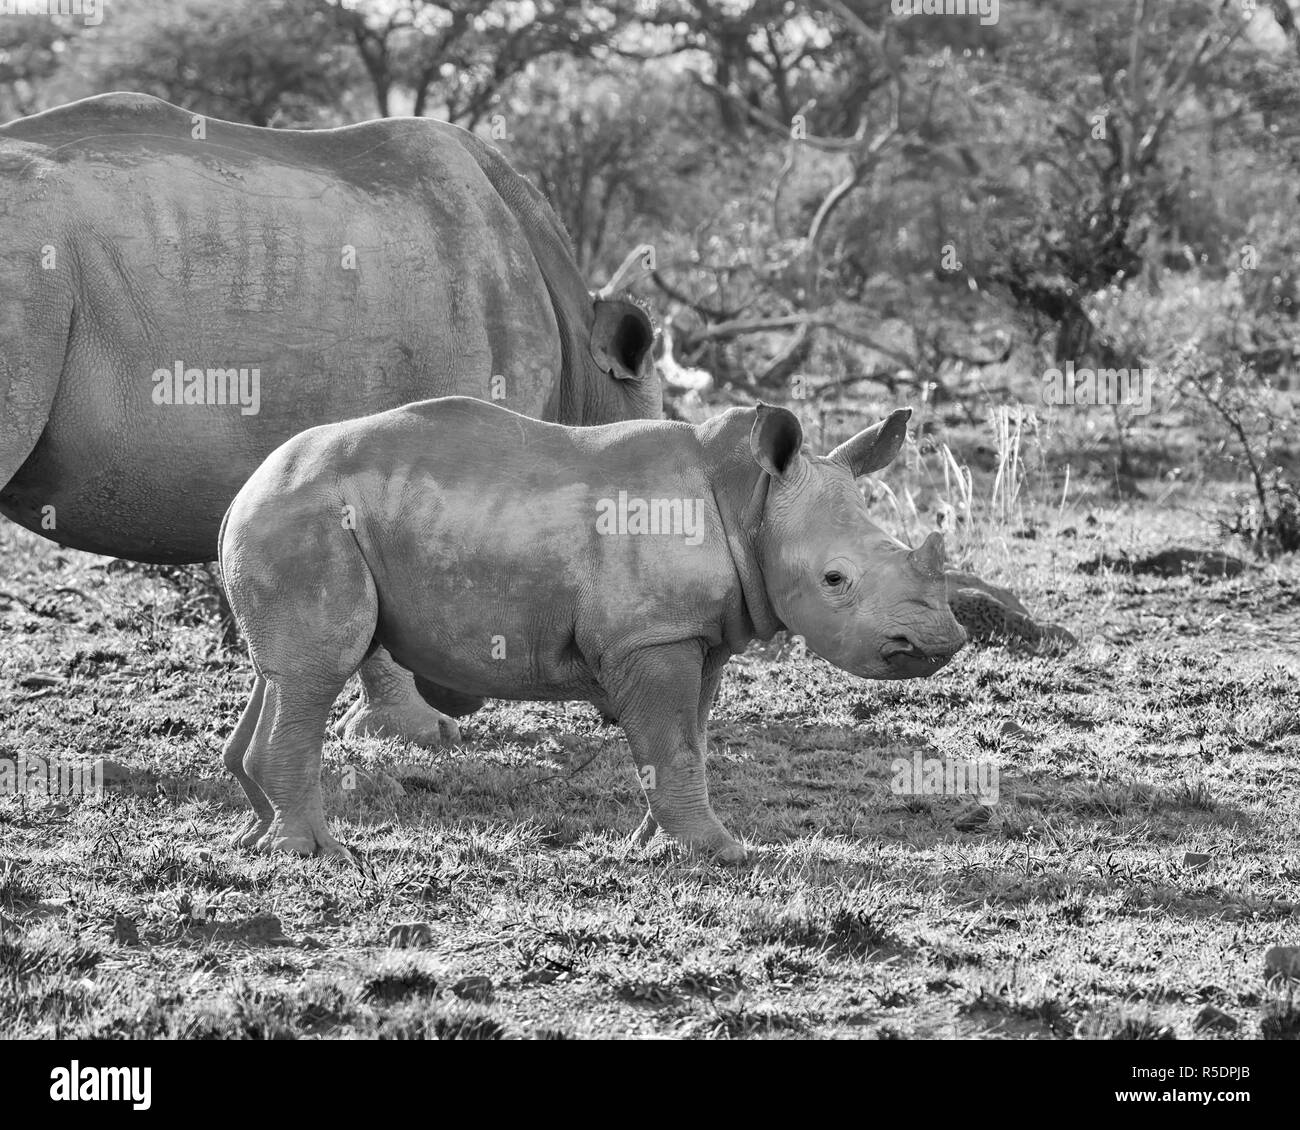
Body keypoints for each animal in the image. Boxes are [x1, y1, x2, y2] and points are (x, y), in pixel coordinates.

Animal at [219, 397, 967, 863]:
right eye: (835, 580)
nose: (939, 644)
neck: (749, 500)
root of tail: (243, 489)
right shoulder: (652, 636)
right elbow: (673, 744)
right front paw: (722, 852)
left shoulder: (696, 635)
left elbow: (688, 740)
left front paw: (659, 846)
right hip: (307, 516)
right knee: (321, 667)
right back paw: (318, 854)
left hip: (302, 513)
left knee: (285, 673)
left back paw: (255, 838)